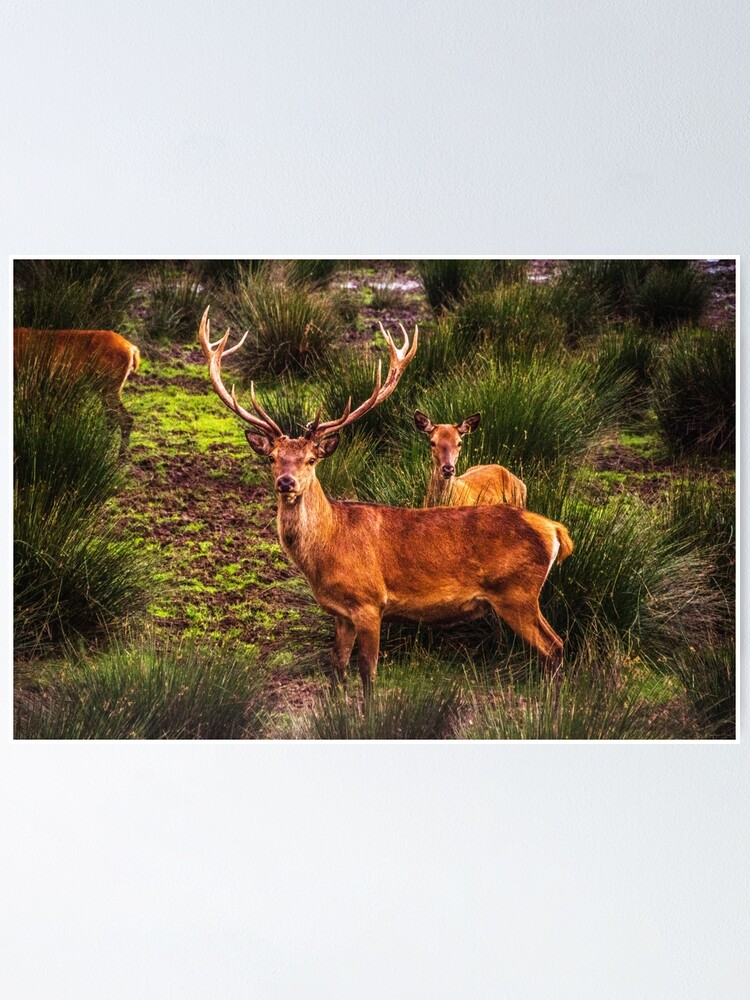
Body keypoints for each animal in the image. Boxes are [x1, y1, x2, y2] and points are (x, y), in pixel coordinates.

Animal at [199, 306, 572, 696]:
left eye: (311, 459)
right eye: (272, 458)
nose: (286, 482)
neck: (329, 547)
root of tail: (555, 530)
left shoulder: (370, 603)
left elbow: (368, 673)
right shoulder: (342, 614)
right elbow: (337, 668)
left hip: (517, 592)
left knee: (554, 645)